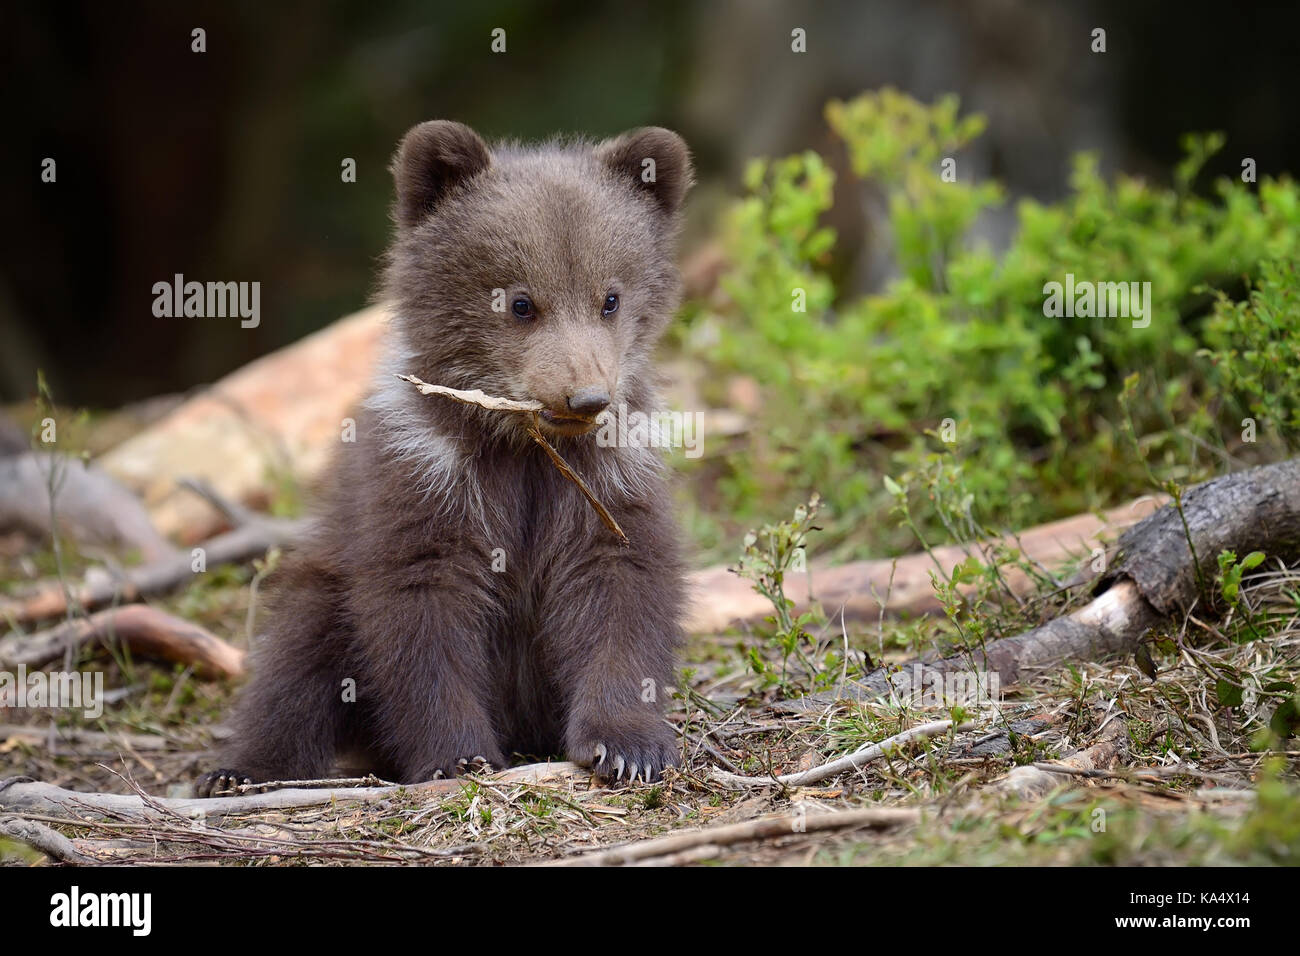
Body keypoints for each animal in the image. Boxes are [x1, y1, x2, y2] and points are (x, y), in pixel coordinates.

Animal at [195, 120, 693, 796]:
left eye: (610, 298)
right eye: (519, 302)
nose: (586, 398)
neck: (521, 447)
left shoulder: (605, 482)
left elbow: (622, 591)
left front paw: (627, 745)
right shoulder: (426, 477)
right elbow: (422, 614)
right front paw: (459, 755)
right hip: (329, 577)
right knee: (298, 658)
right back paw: (242, 771)